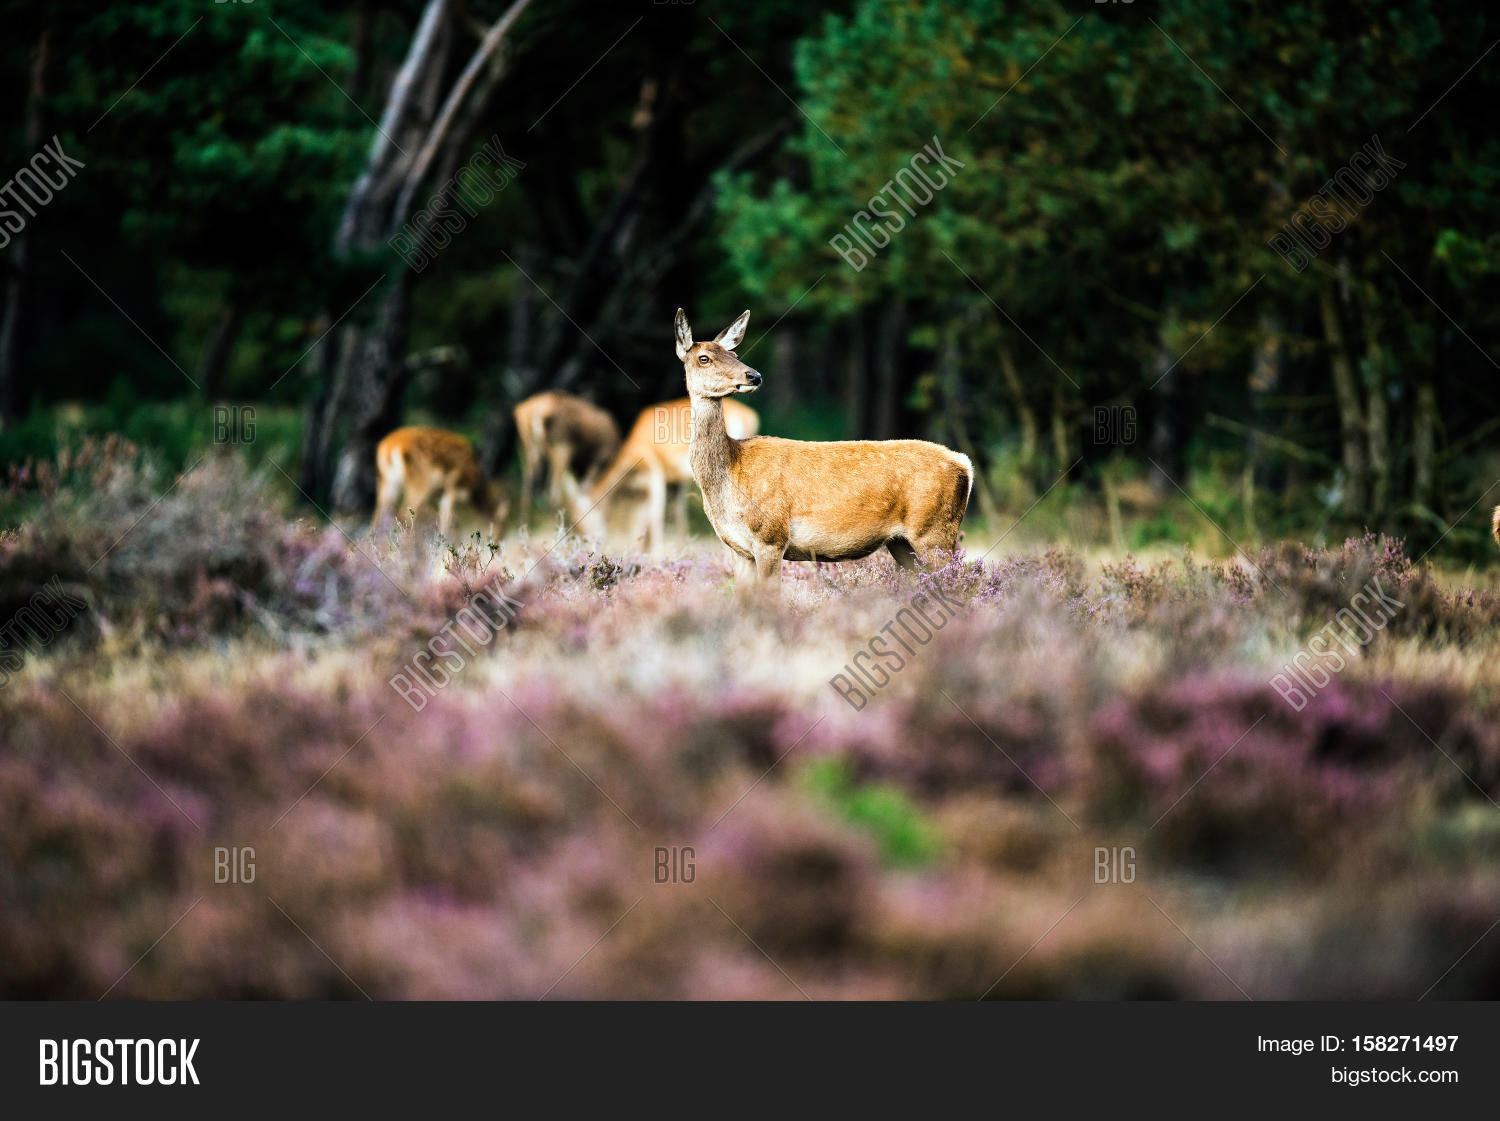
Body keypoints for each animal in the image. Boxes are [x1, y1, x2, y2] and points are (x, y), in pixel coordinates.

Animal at [372, 427, 507, 538]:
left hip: (386, 482)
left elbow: (446, 518)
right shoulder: (454, 486)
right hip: (420, 482)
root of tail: (388, 448)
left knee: (377, 517)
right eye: (500, 534)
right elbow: (447, 519)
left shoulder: (442, 491)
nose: (497, 548)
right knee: (403, 514)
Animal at [512, 391, 621, 525]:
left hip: (527, 447)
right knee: (552, 492)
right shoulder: (600, 456)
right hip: (561, 446)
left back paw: (524, 521)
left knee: (527, 486)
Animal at [572, 396, 759, 552]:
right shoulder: (674, 482)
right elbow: (675, 514)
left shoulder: (656, 472)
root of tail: (749, 415)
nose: (586, 548)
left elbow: (656, 515)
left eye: (581, 519)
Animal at [674, 308, 972, 586]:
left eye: (734, 354)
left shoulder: (771, 535)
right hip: (902, 543)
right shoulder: (740, 550)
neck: (728, 478)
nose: (754, 376)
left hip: (934, 530)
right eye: (704, 358)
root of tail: (964, 464)